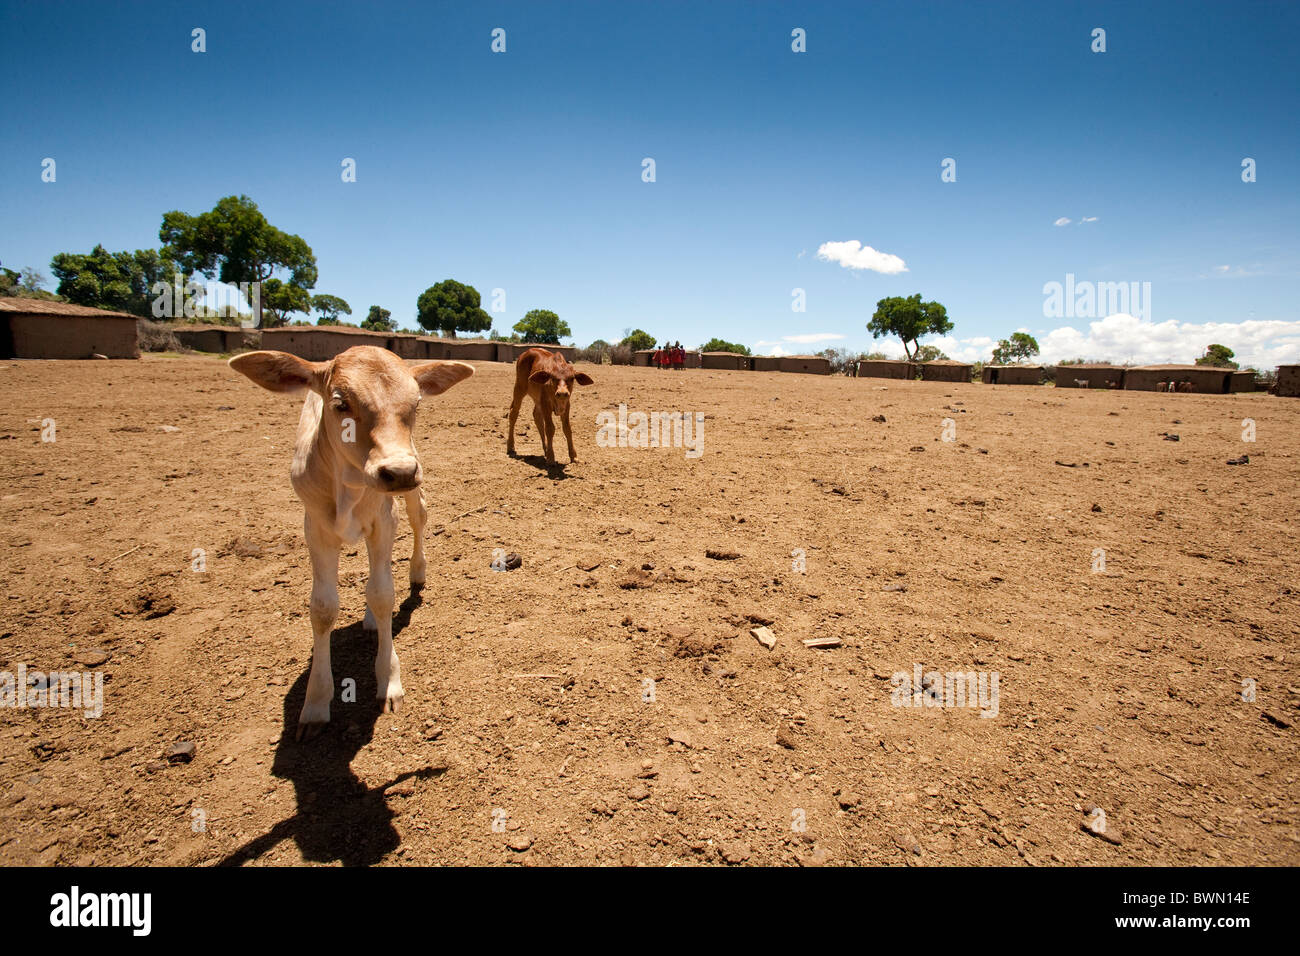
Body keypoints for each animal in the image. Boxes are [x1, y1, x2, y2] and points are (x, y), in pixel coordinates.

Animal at [228, 346, 474, 739]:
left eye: (416, 403)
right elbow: (323, 608)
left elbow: (383, 593)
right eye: (340, 403)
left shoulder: (384, 517)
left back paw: (415, 573)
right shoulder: (314, 526)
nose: (398, 471)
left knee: (417, 520)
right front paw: (315, 705)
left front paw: (389, 682)